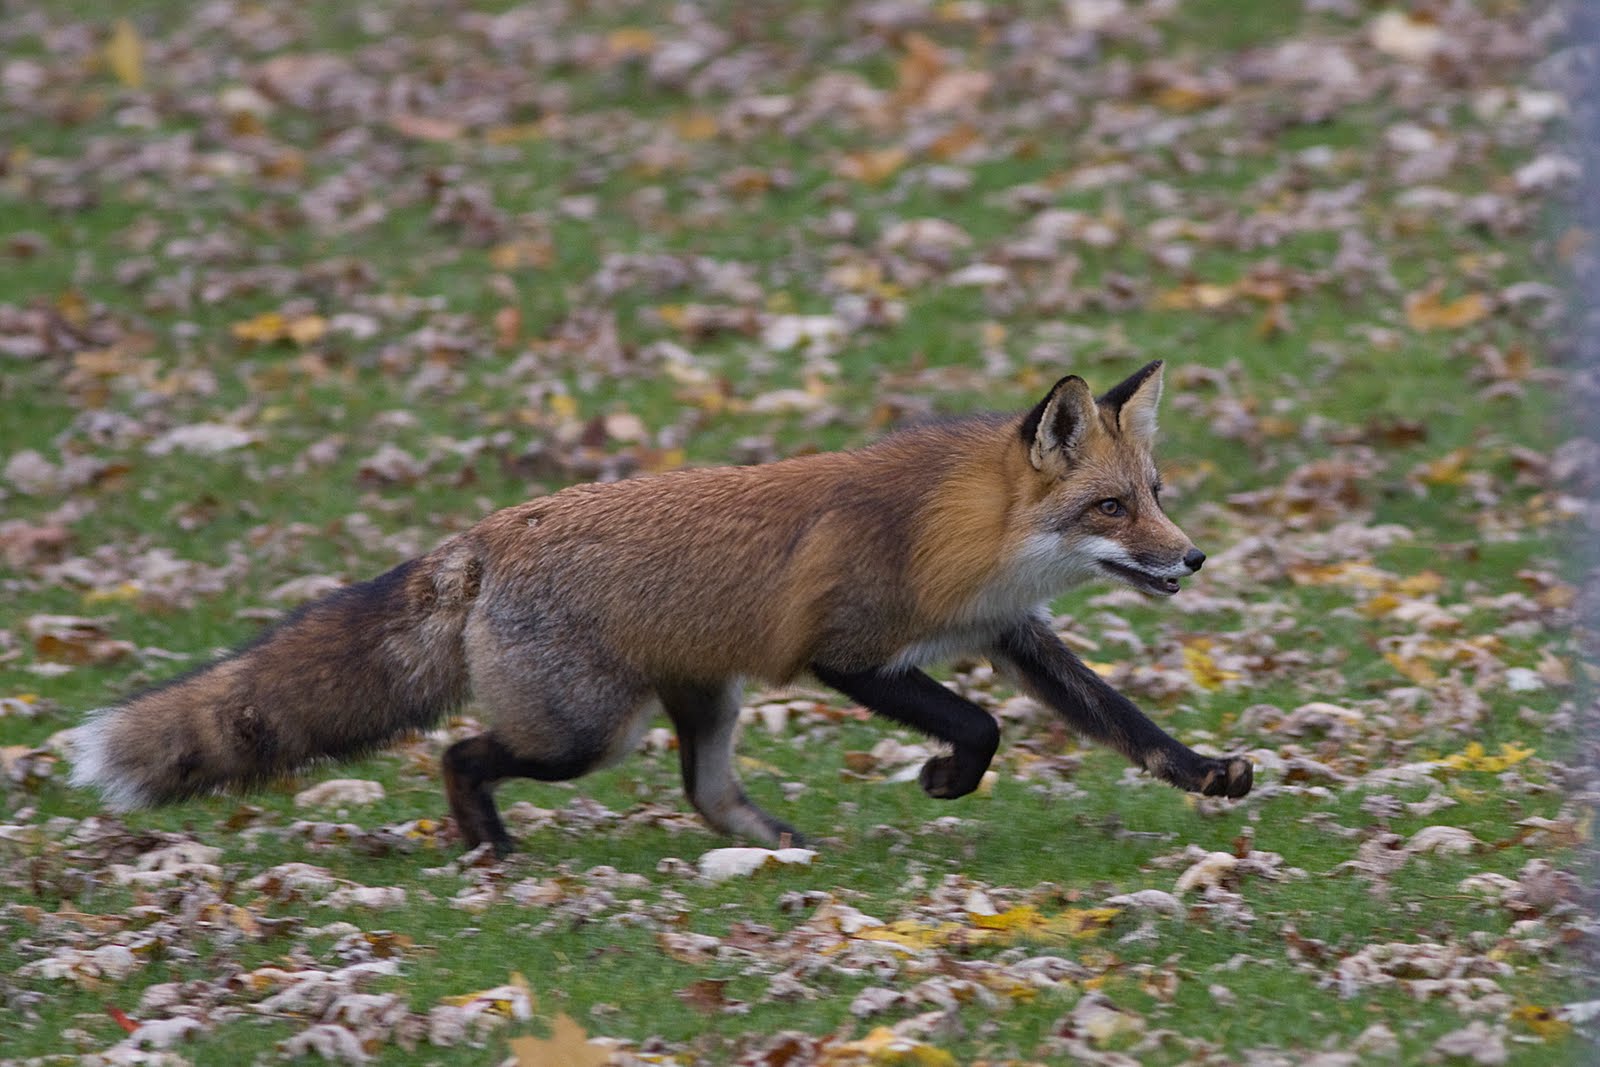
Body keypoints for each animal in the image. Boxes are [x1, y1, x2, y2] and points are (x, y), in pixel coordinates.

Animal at [71, 360, 1252, 857]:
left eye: (1154, 492)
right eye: (1111, 506)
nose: (1192, 556)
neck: (961, 535)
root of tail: (484, 536)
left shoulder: (1010, 635)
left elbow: (1125, 723)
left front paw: (1205, 774)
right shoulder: (848, 651)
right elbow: (980, 724)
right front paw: (946, 778)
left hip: (703, 703)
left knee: (706, 792)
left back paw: (779, 845)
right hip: (587, 733)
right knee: (460, 751)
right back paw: (487, 843)